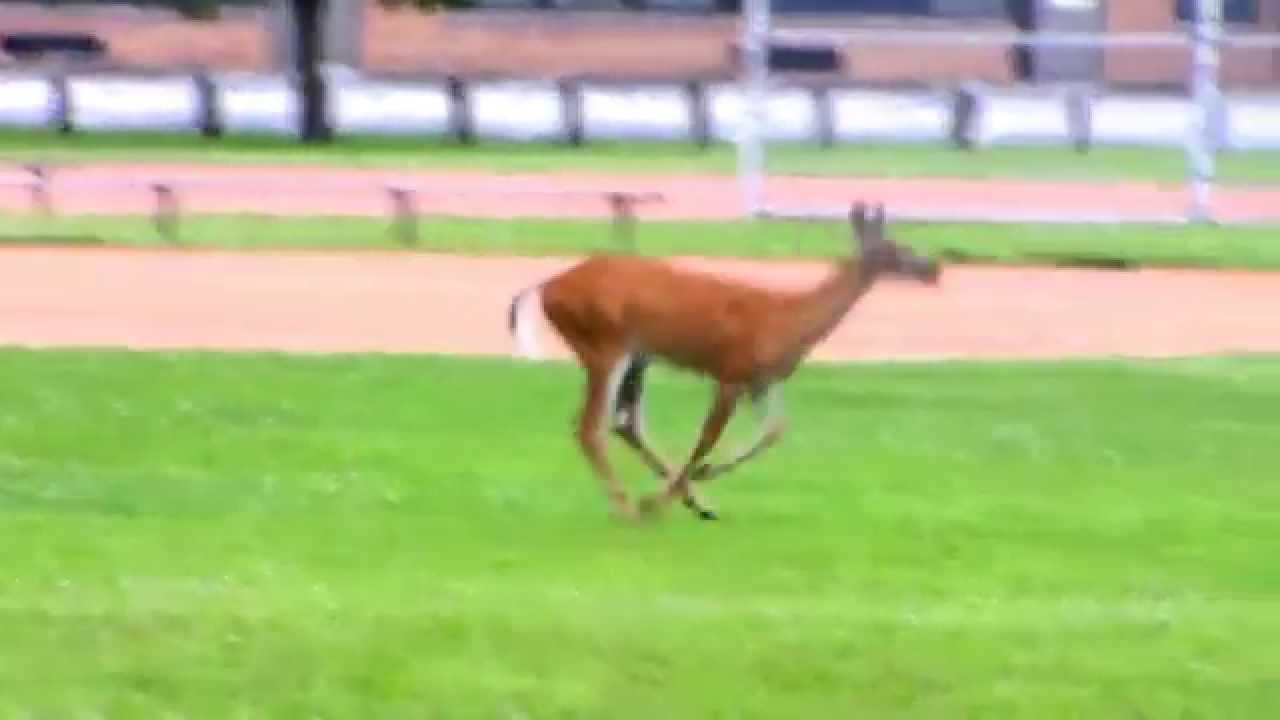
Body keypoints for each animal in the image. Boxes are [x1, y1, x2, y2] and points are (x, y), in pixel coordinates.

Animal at [506, 201, 940, 522]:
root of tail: (544, 287)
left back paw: (691, 503)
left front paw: (693, 485)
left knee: (623, 423)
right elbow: (707, 438)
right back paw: (633, 507)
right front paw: (667, 496)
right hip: (603, 344)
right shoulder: (730, 372)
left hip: (637, 356)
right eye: (897, 250)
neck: (787, 319)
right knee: (590, 427)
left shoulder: (762, 380)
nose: (932, 269)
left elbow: (774, 431)